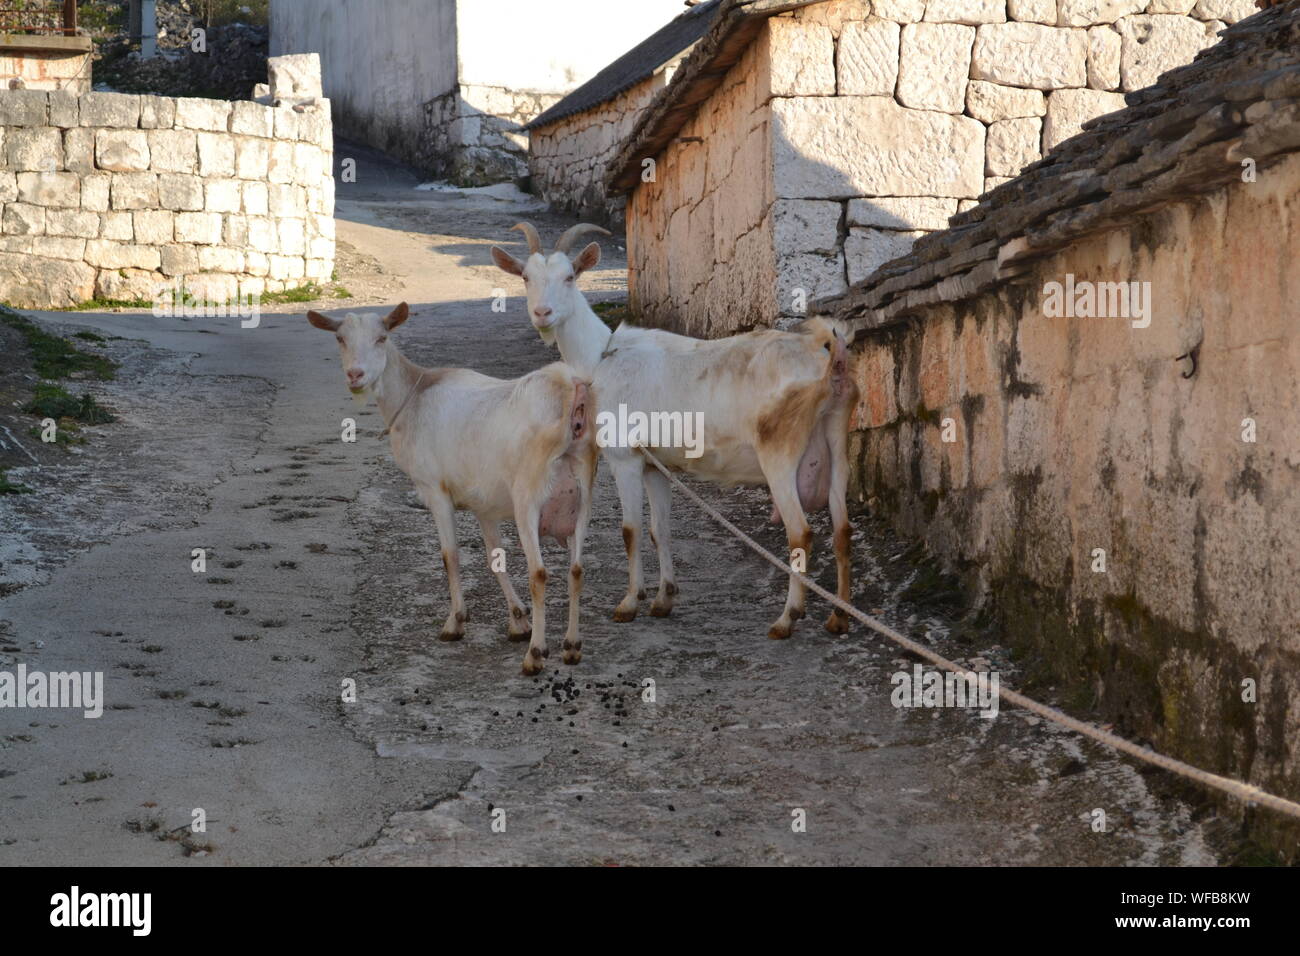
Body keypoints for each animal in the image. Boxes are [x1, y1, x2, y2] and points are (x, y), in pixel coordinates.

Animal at [307, 302, 598, 675]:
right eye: (340, 339)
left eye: (382, 337)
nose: (355, 375)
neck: (414, 398)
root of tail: (569, 388)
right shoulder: (484, 503)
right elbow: (494, 557)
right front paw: (518, 620)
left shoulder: (434, 489)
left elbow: (451, 555)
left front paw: (455, 622)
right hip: (583, 496)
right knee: (577, 569)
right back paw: (572, 647)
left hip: (528, 498)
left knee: (539, 572)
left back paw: (535, 655)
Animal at [491, 224, 858, 640]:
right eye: (525, 277)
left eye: (570, 276)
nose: (543, 313)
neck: (602, 357)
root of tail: (829, 357)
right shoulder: (656, 464)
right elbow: (659, 529)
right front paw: (663, 599)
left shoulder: (625, 457)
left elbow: (631, 530)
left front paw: (629, 604)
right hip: (836, 439)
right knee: (843, 529)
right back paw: (839, 617)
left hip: (780, 451)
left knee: (801, 533)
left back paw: (787, 618)